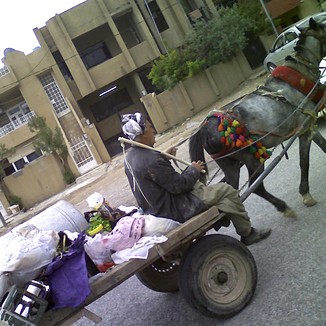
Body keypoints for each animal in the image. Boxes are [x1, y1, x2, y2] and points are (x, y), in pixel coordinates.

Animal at [188, 17, 326, 216]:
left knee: (233, 191)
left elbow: (323, 145)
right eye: (325, 27)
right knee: (256, 187)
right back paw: (283, 207)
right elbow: (304, 162)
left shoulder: (308, 125)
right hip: (251, 160)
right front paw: (305, 194)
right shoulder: (304, 130)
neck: (298, 78)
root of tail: (204, 128)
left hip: (230, 165)